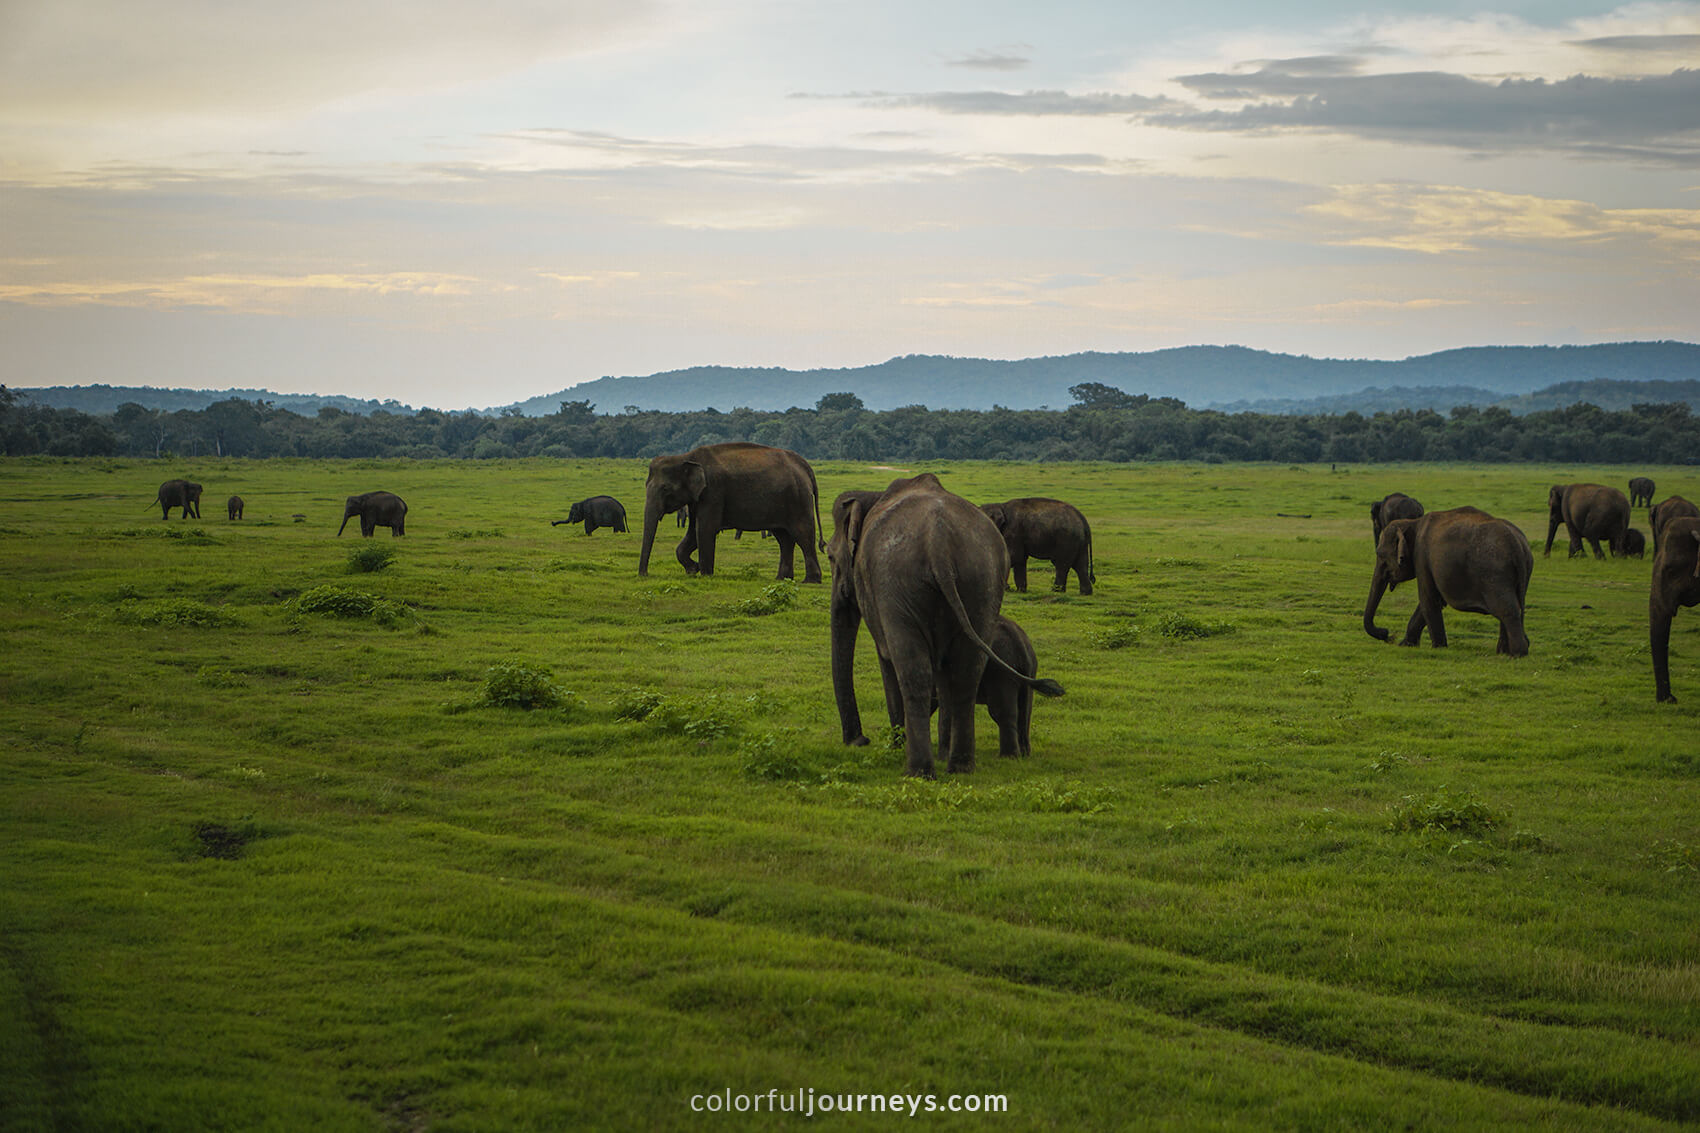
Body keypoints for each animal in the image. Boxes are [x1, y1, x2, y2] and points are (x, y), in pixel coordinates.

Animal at [637, 442, 821, 582]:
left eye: (665, 489)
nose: (644, 575)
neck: (686, 457)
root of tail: (805, 466)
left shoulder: (713, 491)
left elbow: (705, 529)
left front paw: (705, 575)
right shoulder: (698, 497)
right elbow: (693, 532)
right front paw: (693, 569)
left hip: (798, 499)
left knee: (803, 535)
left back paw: (810, 581)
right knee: (784, 539)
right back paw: (782, 579)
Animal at [829, 475, 1063, 778]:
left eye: (830, 557)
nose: (860, 740)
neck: (873, 494)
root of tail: (937, 542)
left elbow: (888, 659)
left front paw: (896, 746)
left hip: (899, 585)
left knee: (913, 671)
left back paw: (918, 770)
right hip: (980, 581)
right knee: (966, 672)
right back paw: (960, 767)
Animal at [1364, 506, 1532, 657]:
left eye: (1380, 555)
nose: (1386, 634)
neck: (1413, 523)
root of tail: (1517, 545)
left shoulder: (1422, 557)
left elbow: (1428, 599)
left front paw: (1438, 648)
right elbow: (1435, 600)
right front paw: (1405, 645)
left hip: (1494, 573)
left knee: (1506, 609)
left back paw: (1517, 653)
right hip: (1521, 572)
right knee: (1514, 606)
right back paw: (1504, 652)